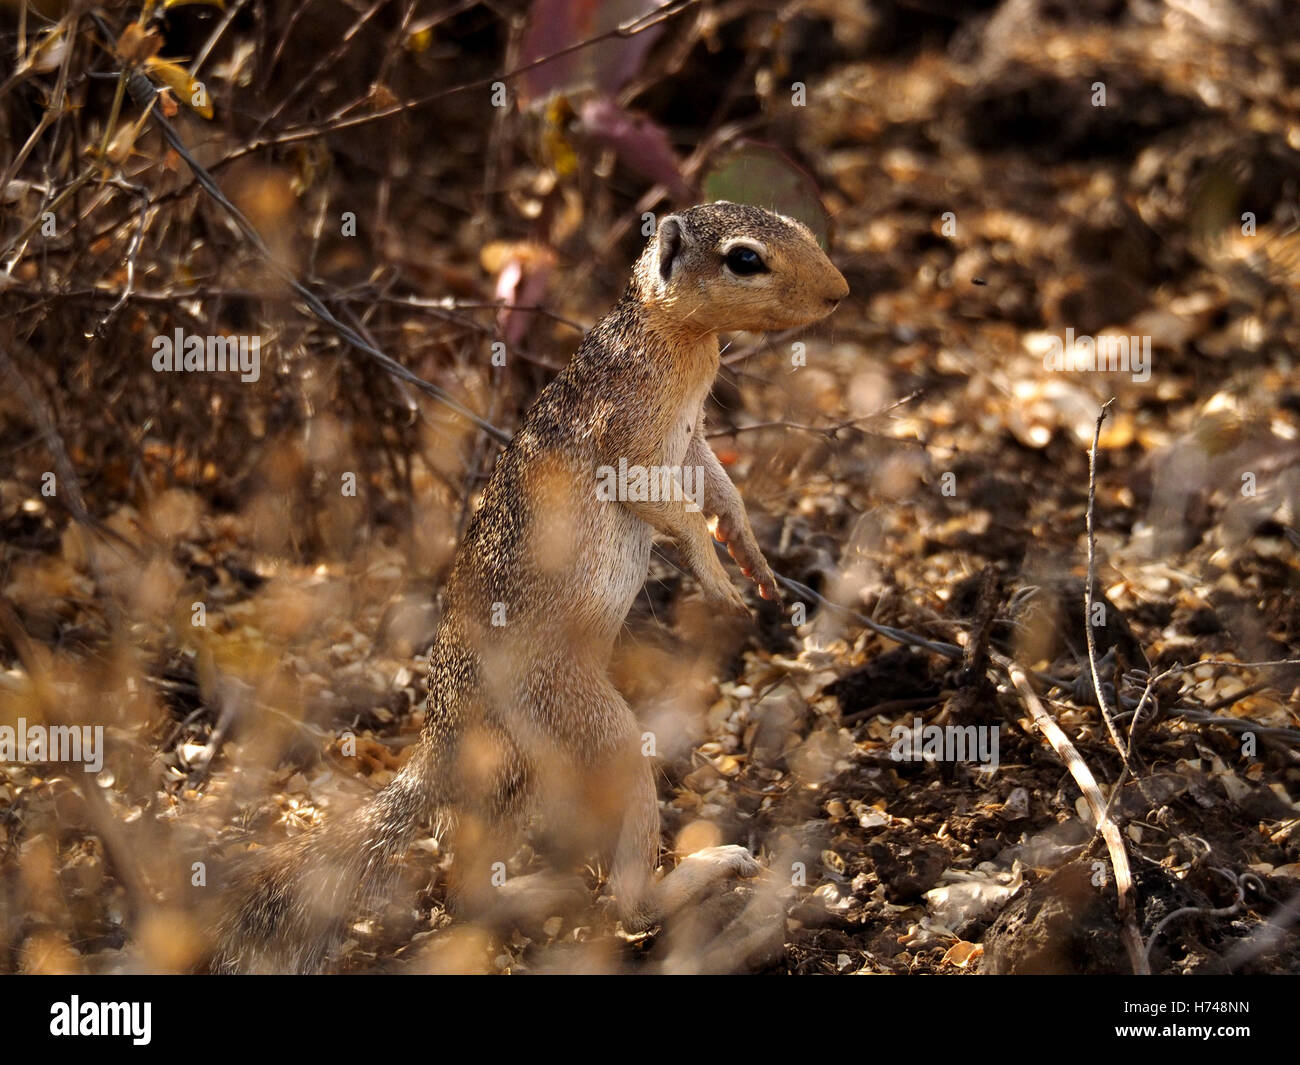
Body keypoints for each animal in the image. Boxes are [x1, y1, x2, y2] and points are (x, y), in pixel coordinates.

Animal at [211, 201, 849, 972]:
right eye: (745, 259)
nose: (840, 293)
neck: (673, 337)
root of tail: (442, 738)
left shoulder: (692, 444)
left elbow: (722, 493)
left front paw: (750, 557)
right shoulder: (630, 447)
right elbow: (673, 514)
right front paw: (718, 577)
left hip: (516, 773)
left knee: (466, 882)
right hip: (593, 729)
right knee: (622, 898)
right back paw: (690, 875)